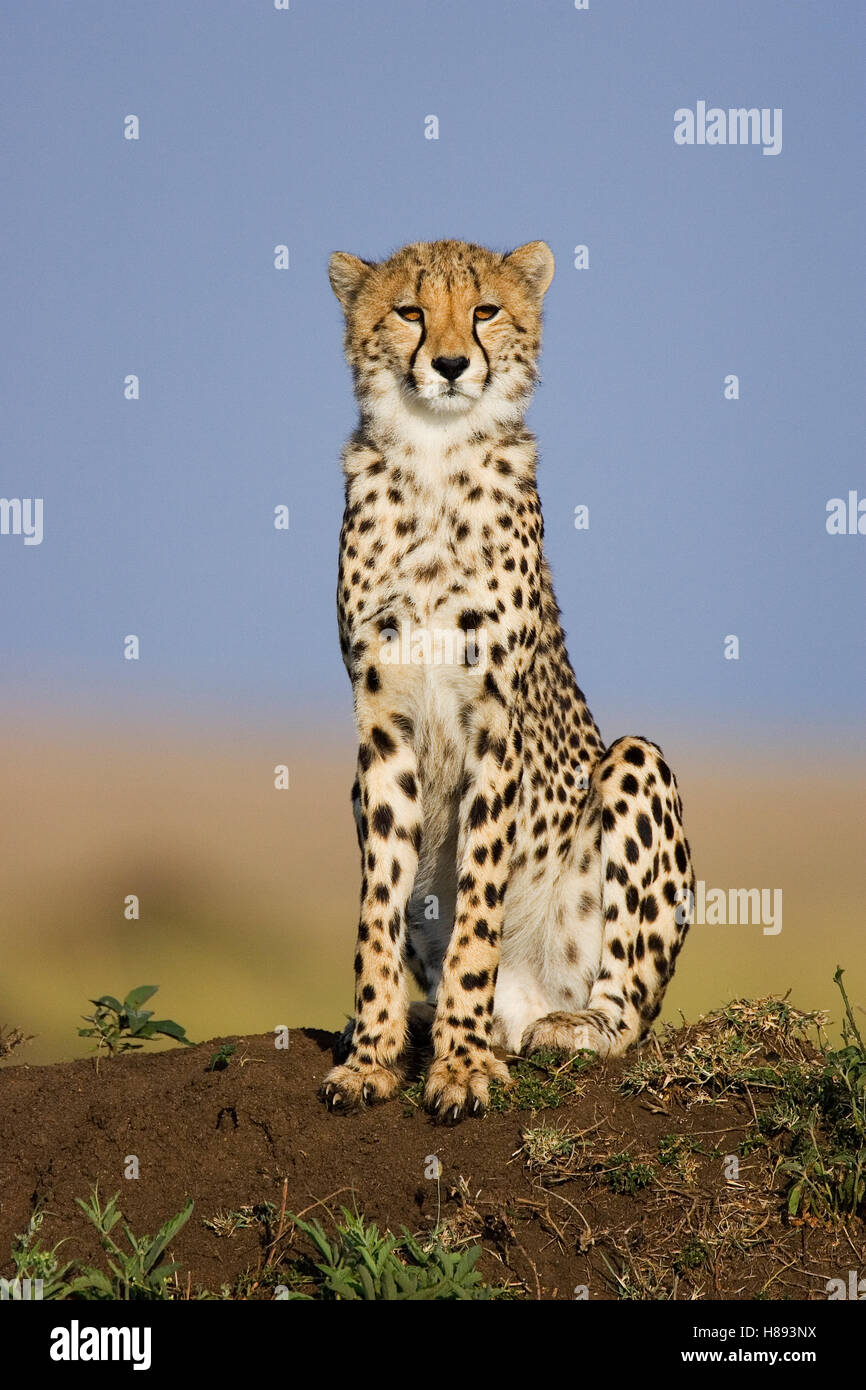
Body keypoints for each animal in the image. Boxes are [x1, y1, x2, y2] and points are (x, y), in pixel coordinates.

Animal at [320, 237, 694, 1124]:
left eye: (485, 309)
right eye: (410, 311)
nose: (452, 363)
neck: (432, 454)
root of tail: (528, 1002)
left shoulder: (495, 727)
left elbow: (480, 901)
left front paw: (459, 1068)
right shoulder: (379, 729)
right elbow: (377, 907)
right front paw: (373, 1054)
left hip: (634, 764)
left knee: (627, 1009)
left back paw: (564, 1027)